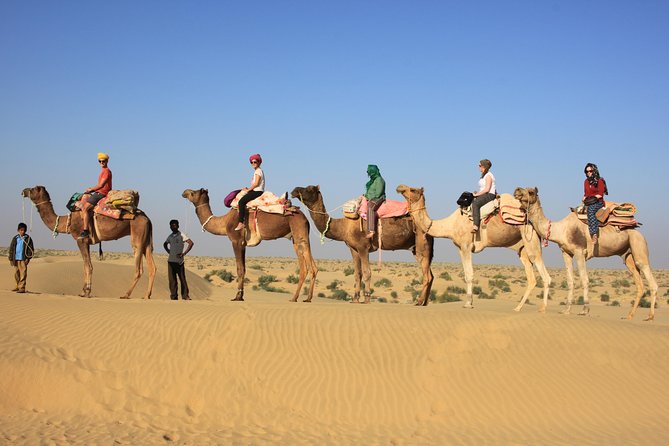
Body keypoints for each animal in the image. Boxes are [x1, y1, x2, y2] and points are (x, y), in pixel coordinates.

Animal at [22, 185, 156, 299]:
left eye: (33, 189)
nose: (23, 190)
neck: (67, 222)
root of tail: (147, 218)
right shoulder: (87, 242)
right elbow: (85, 266)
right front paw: (84, 291)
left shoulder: (81, 240)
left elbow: (88, 266)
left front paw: (85, 292)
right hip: (146, 241)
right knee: (152, 267)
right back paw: (146, 295)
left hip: (137, 235)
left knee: (139, 268)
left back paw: (126, 294)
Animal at [182, 188, 317, 302]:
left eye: (193, 193)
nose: (184, 192)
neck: (224, 221)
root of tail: (305, 218)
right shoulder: (243, 244)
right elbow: (244, 268)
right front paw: (241, 296)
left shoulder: (236, 240)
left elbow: (239, 269)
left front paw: (237, 297)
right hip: (296, 238)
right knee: (312, 266)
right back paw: (307, 298)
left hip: (299, 233)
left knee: (305, 267)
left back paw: (295, 298)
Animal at [291, 185, 434, 305]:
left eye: (309, 189)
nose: (294, 190)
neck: (344, 226)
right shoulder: (353, 249)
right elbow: (357, 273)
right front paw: (355, 299)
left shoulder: (363, 247)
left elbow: (367, 272)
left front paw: (367, 298)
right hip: (418, 249)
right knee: (431, 275)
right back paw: (425, 303)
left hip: (423, 245)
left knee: (427, 275)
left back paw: (419, 302)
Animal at [396, 185, 551, 312]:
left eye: (413, 190)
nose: (400, 187)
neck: (451, 224)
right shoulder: (460, 248)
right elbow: (466, 274)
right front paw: (469, 302)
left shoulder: (466, 246)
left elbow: (469, 275)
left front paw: (468, 304)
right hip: (522, 248)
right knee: (531, 278)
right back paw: (518, 308)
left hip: (530, 237)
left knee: (544, 273)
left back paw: (543, 308)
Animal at [513, 187, 658, 320]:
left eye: (531, 192)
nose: (517, 190)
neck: (561, 229)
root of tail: (637, 229)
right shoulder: (566, 253)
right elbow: (570, 281)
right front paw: (566, 310)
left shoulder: (579, 252)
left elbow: (584, 279)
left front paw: (584, 310)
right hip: (627, 255)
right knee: (639, 283)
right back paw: (629, 315)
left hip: (638, 243)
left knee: (650, 278)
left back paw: (650, 316)